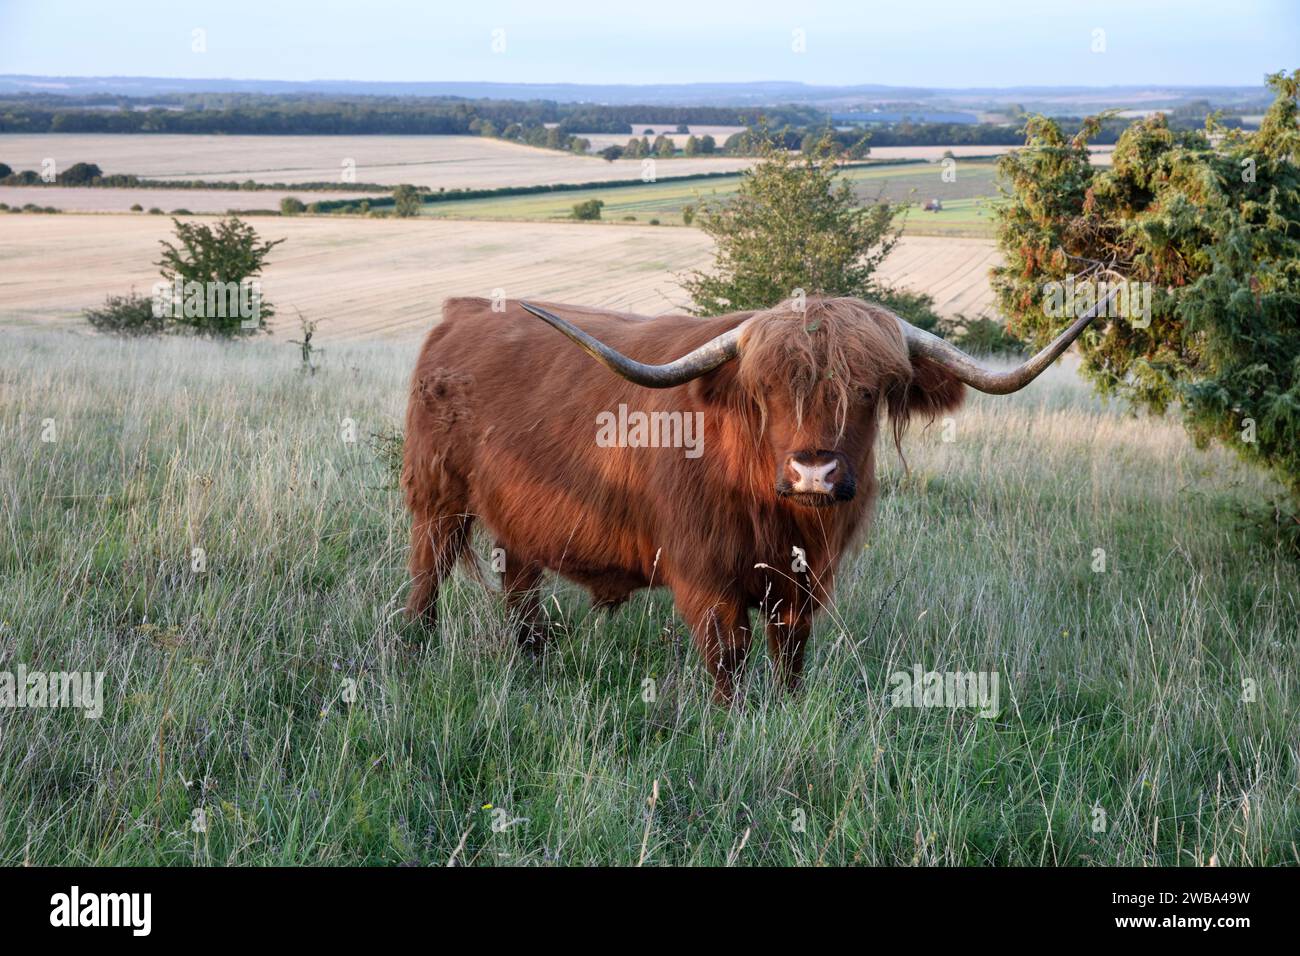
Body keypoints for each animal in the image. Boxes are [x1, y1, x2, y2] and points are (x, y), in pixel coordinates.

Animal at [402, 294, 1103, 705]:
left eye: (872, 390)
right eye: (766, 390)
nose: (815, 473)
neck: (778, 516)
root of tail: (463, 311)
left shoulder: (806, 584)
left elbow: (790, 654)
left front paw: (789, 711)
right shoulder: (705, 577)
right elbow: (728, 660)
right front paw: (728, 723)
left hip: (519, 516)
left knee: (519, 584)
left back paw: (534, 661)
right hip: (436, 497)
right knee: (428, 572)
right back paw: (417, 647)